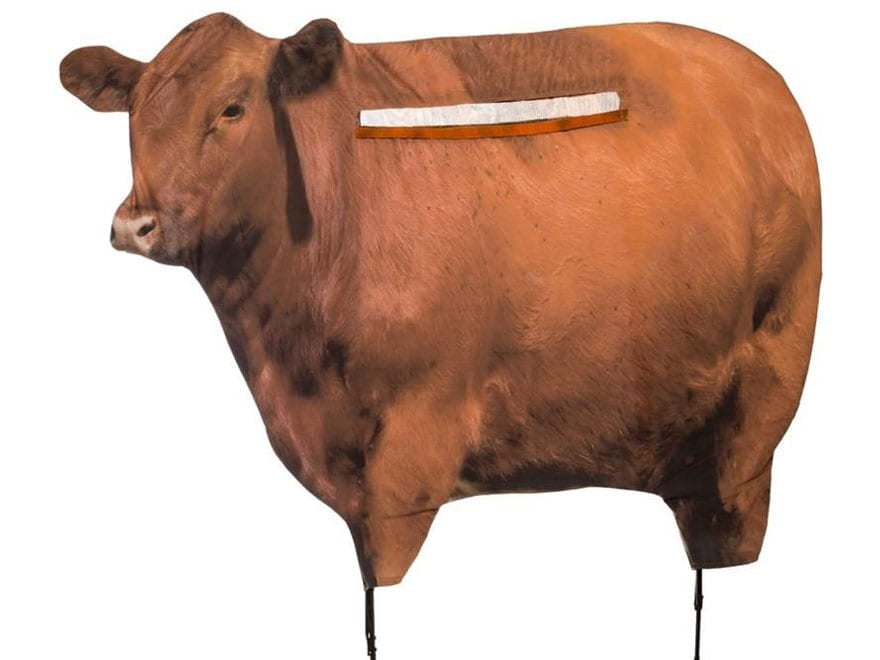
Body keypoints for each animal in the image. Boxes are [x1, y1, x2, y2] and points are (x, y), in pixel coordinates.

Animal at [60, 12, 821, 657]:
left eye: (232, 108)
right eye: (134, 112)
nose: (136, 223)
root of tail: (763, 81)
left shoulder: (419, 432)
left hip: (763, 393)